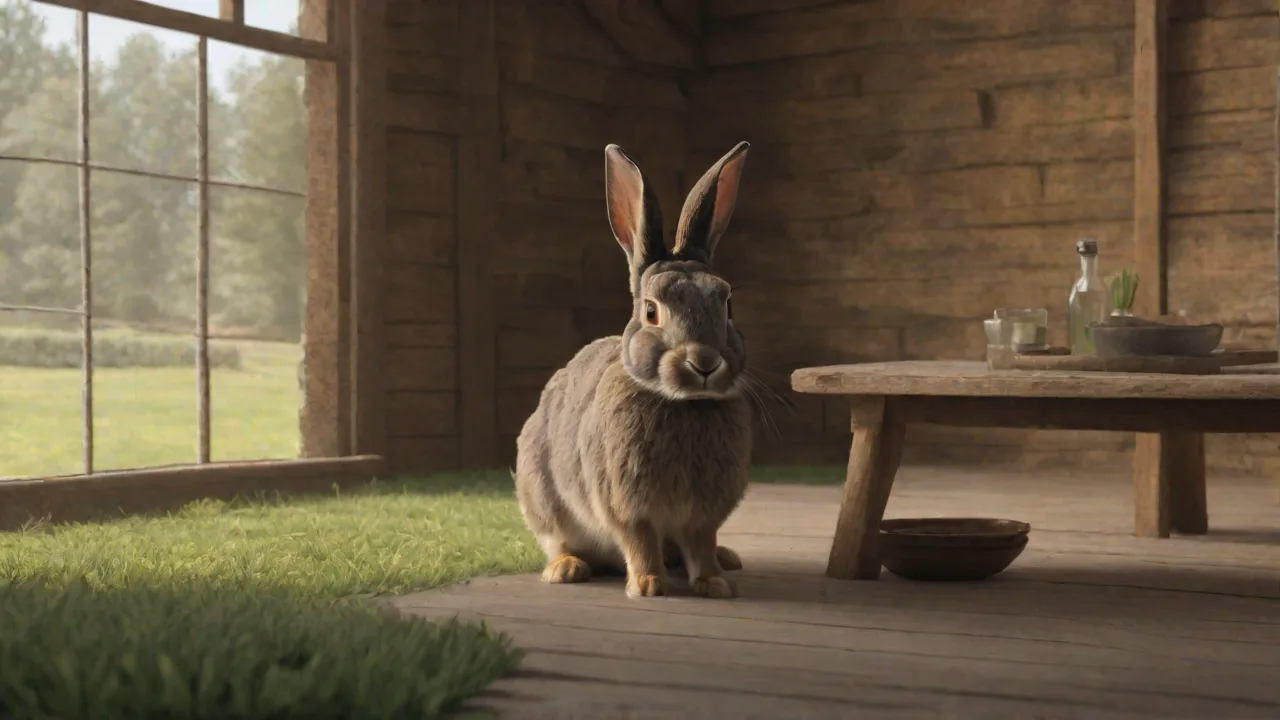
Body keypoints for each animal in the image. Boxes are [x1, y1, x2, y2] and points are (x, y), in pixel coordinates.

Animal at [514, 141, 754, 600]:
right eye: (651, 311)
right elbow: (639, 538)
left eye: (728, 305)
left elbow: (702, 542)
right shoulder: (625, 503)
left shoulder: (701, 516)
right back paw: (567, 569)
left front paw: (713, 583)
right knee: (558, 541)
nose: (705, 363)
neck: (684, 403)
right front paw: (647, 585)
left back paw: (728, 560)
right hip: (540, 495)